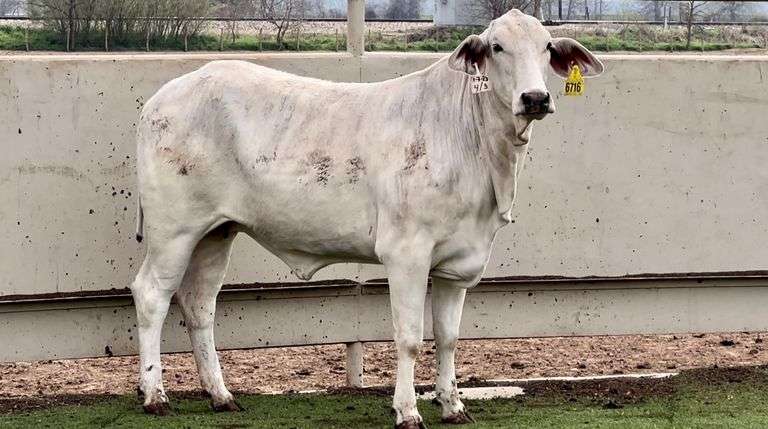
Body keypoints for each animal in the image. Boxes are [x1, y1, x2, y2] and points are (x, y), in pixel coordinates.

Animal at [130, 9, 603, 428]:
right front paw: (408, 411)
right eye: (497, 46)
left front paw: (452, 405)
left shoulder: (457, 264)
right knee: (152, 294)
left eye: (546, 47)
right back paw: (155, 396)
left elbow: (447, 338)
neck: (479, 151)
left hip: (217, 232)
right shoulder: (406, 253)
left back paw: (221, 395)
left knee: (199, 304)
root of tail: (162, 96)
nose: (535, 98)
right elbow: (409, 338)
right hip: (173, 229)